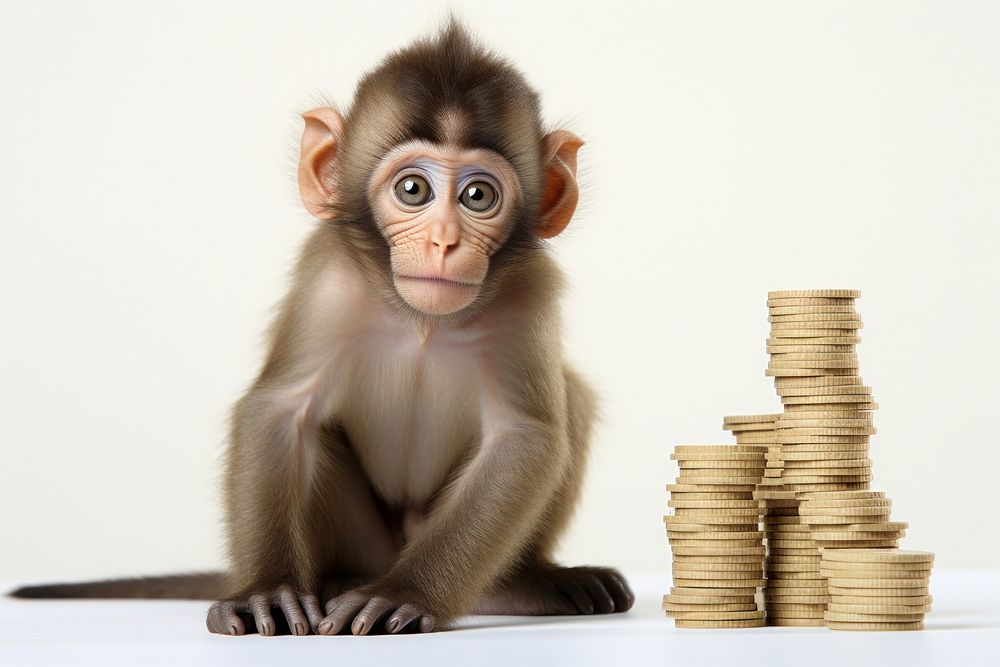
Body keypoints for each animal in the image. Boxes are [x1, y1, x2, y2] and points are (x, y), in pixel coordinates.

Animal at [10, 20, 635, 636]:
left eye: (478, 196)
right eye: (413, 189)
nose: (444, 241)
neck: (420, 320)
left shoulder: (531, 292)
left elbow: (523, 438)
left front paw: (404, 594)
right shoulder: (328, 277)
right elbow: (279, 411)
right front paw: (266, 592)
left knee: (572, 396)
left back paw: (516, 585)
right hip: (366, 543)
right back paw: (335, 582)